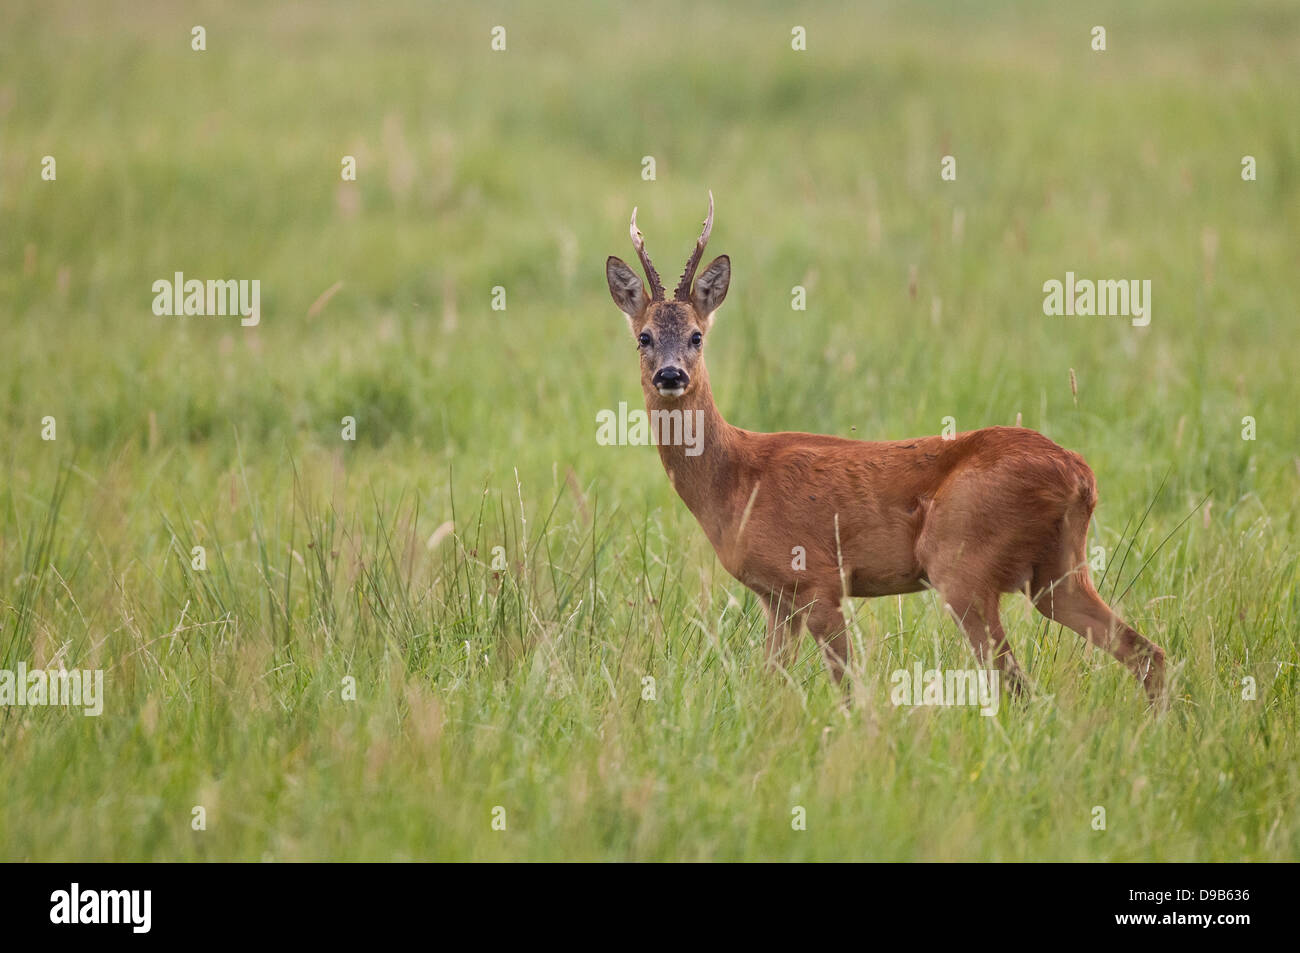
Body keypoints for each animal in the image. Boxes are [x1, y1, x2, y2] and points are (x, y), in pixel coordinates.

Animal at [605, 193, 1167, 705]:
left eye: (697, 336)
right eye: (644, 337)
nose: (671, 375)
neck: (736, 480)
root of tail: (1081, 476)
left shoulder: (819, 579)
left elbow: (850, 687)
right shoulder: (777, 598)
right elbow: (769, 684)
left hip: (962, 560)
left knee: (1017, 681)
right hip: (1059, 571)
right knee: (1145, 653)